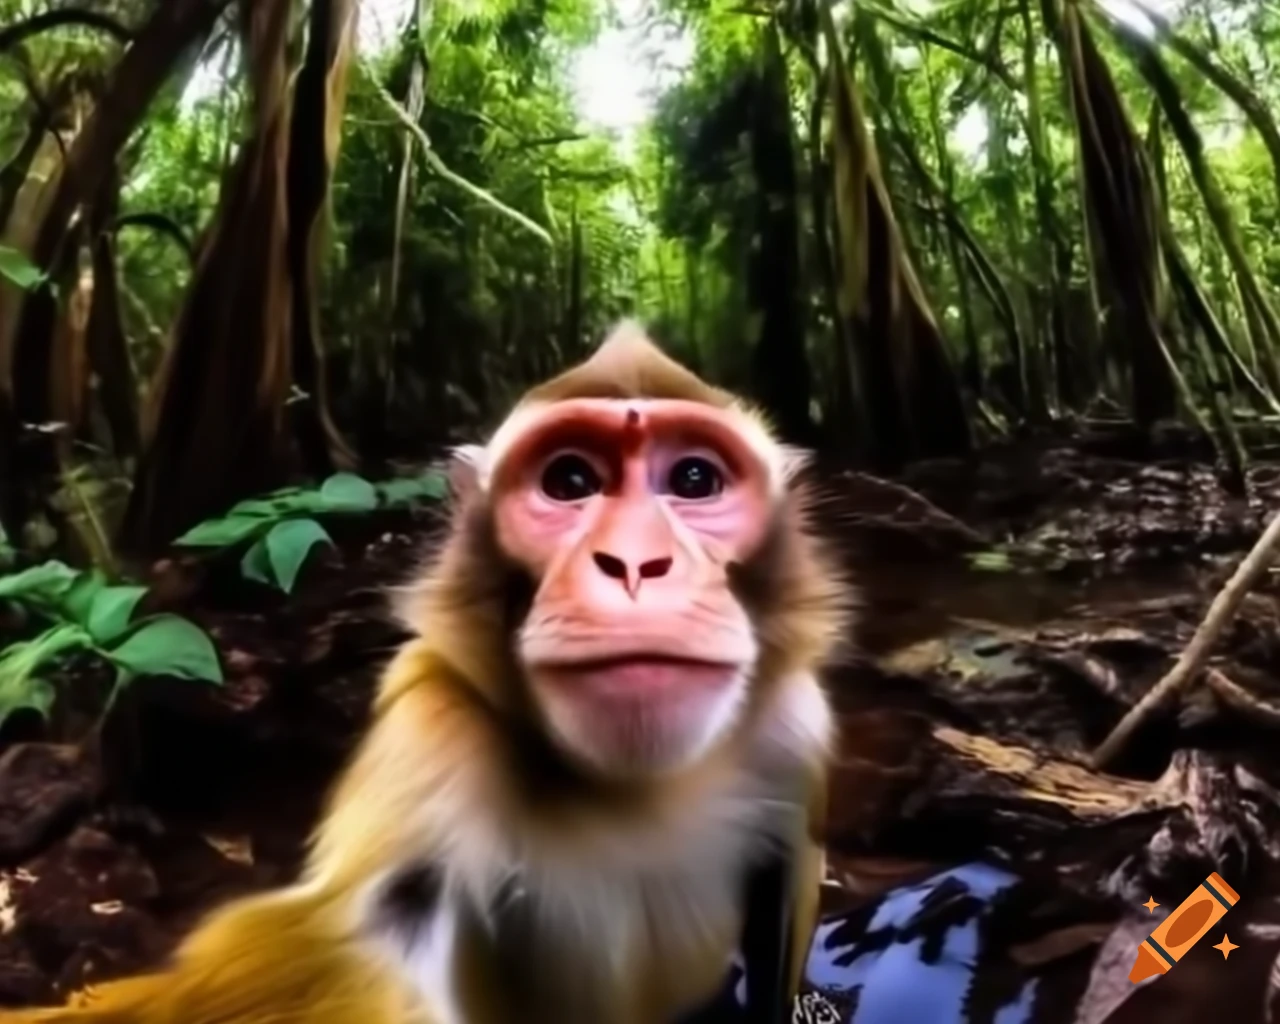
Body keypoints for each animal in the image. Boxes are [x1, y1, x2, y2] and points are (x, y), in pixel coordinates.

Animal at [6, 321, 852, 1024]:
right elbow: (337, 942)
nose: (637, 564)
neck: (636, 789)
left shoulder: (793, 723)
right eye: (571, 483)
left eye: (695, 481)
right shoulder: (436, 722)